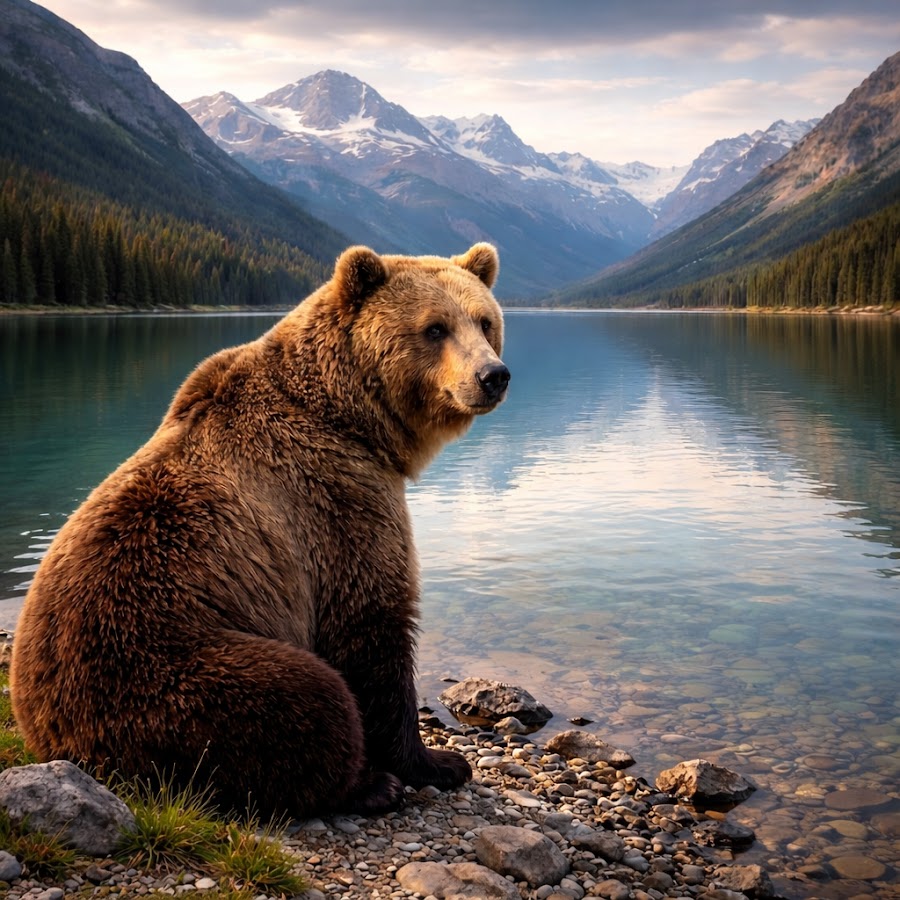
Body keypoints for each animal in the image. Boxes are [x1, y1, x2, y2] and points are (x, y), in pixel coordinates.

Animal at [10, 243, 509, 818]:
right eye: (434, 327)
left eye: (484, 321)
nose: (493, 375)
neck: (352, 418)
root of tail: (56, 740)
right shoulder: (337, 501)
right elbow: (370, 625)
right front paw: (440, 763)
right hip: (164, 675)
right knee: (308, 700)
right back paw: (368, 785)